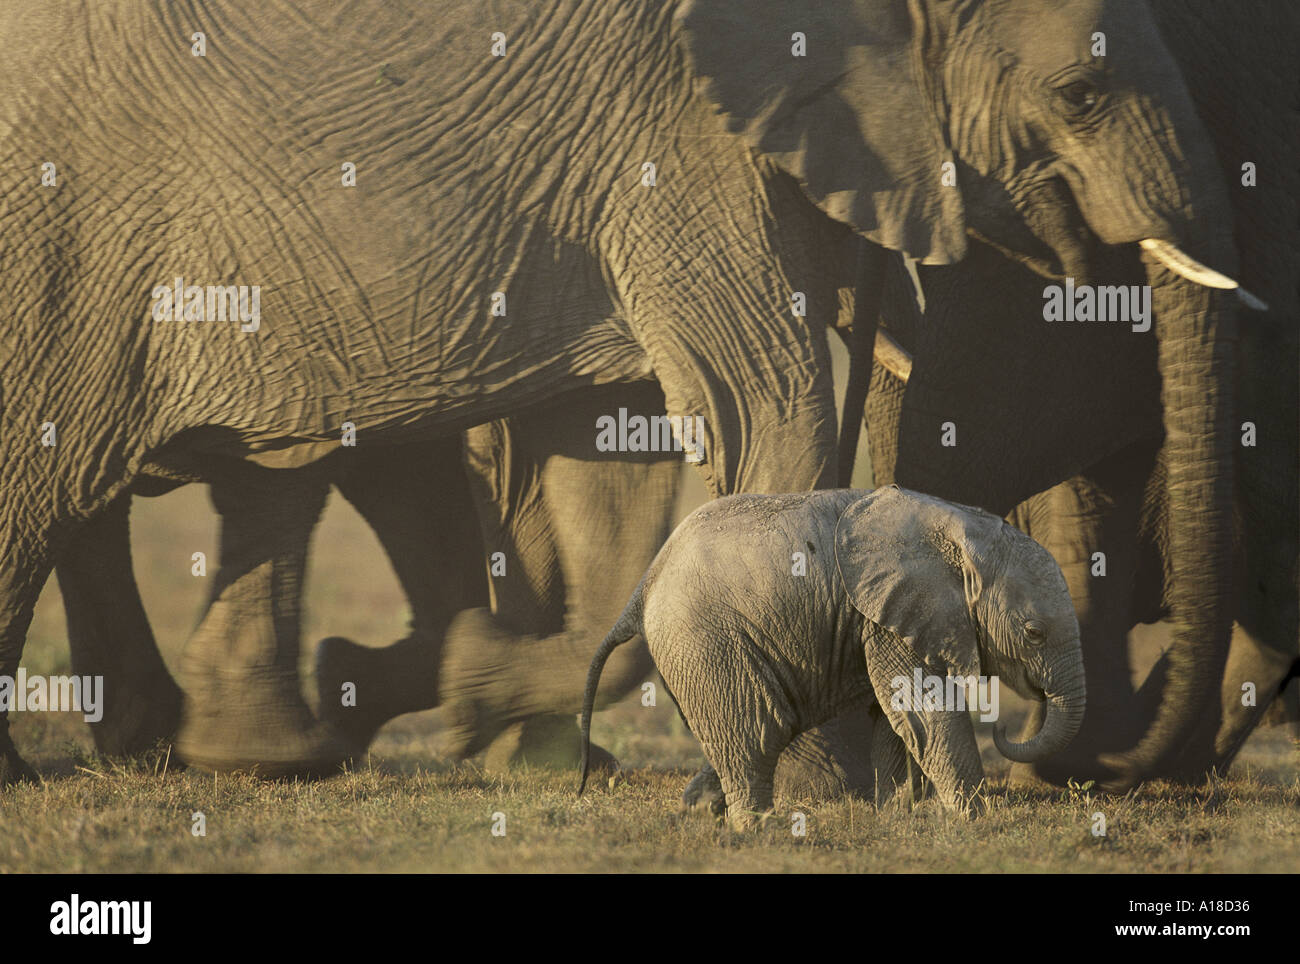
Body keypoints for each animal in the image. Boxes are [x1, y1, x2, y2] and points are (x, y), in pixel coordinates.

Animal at [0, 0, 1252, 787]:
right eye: (1081, 92)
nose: (1070, 756)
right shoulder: (686, 140)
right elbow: (769, 417)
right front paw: (825, 786)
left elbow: (610, 470)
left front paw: (472, 695)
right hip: (67, 236)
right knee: (46, 476)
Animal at [580, 486, 1086, 827]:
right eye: (1035, 634)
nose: (1002, 727)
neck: (964, 526)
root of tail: (646, 583)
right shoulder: (888, 614)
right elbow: (924, 707)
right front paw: (973, 819)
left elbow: (896, 715)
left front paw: (897, 814)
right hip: (705, 639)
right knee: (756, 727)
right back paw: (759, 828)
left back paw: (700, 810)